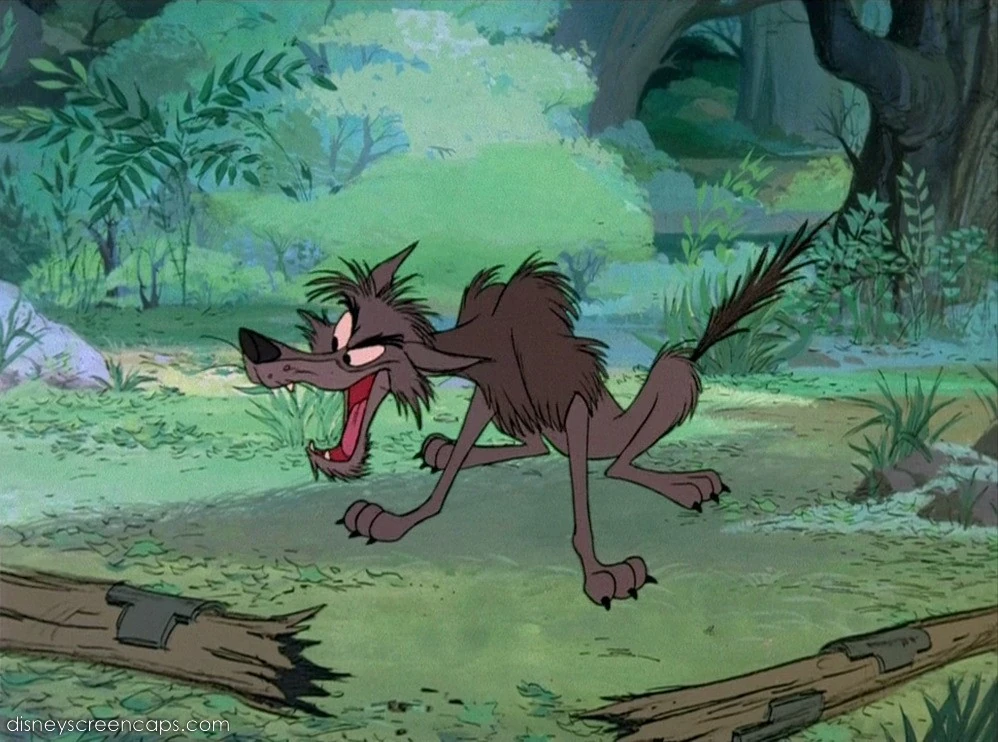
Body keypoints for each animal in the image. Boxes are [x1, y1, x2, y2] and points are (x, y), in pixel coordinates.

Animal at [238, 219, 830, 608]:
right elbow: (447, 484)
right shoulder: (489, 396)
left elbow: (582, 509)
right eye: (334, 335)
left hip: (671, 377)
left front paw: (602, 573)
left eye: (352, 354)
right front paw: (398, 517)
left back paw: (688, 483)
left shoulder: (572, 405)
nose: (257, 350)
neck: (485, 343)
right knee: (539, 448)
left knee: (617, 460)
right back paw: (442, 447)